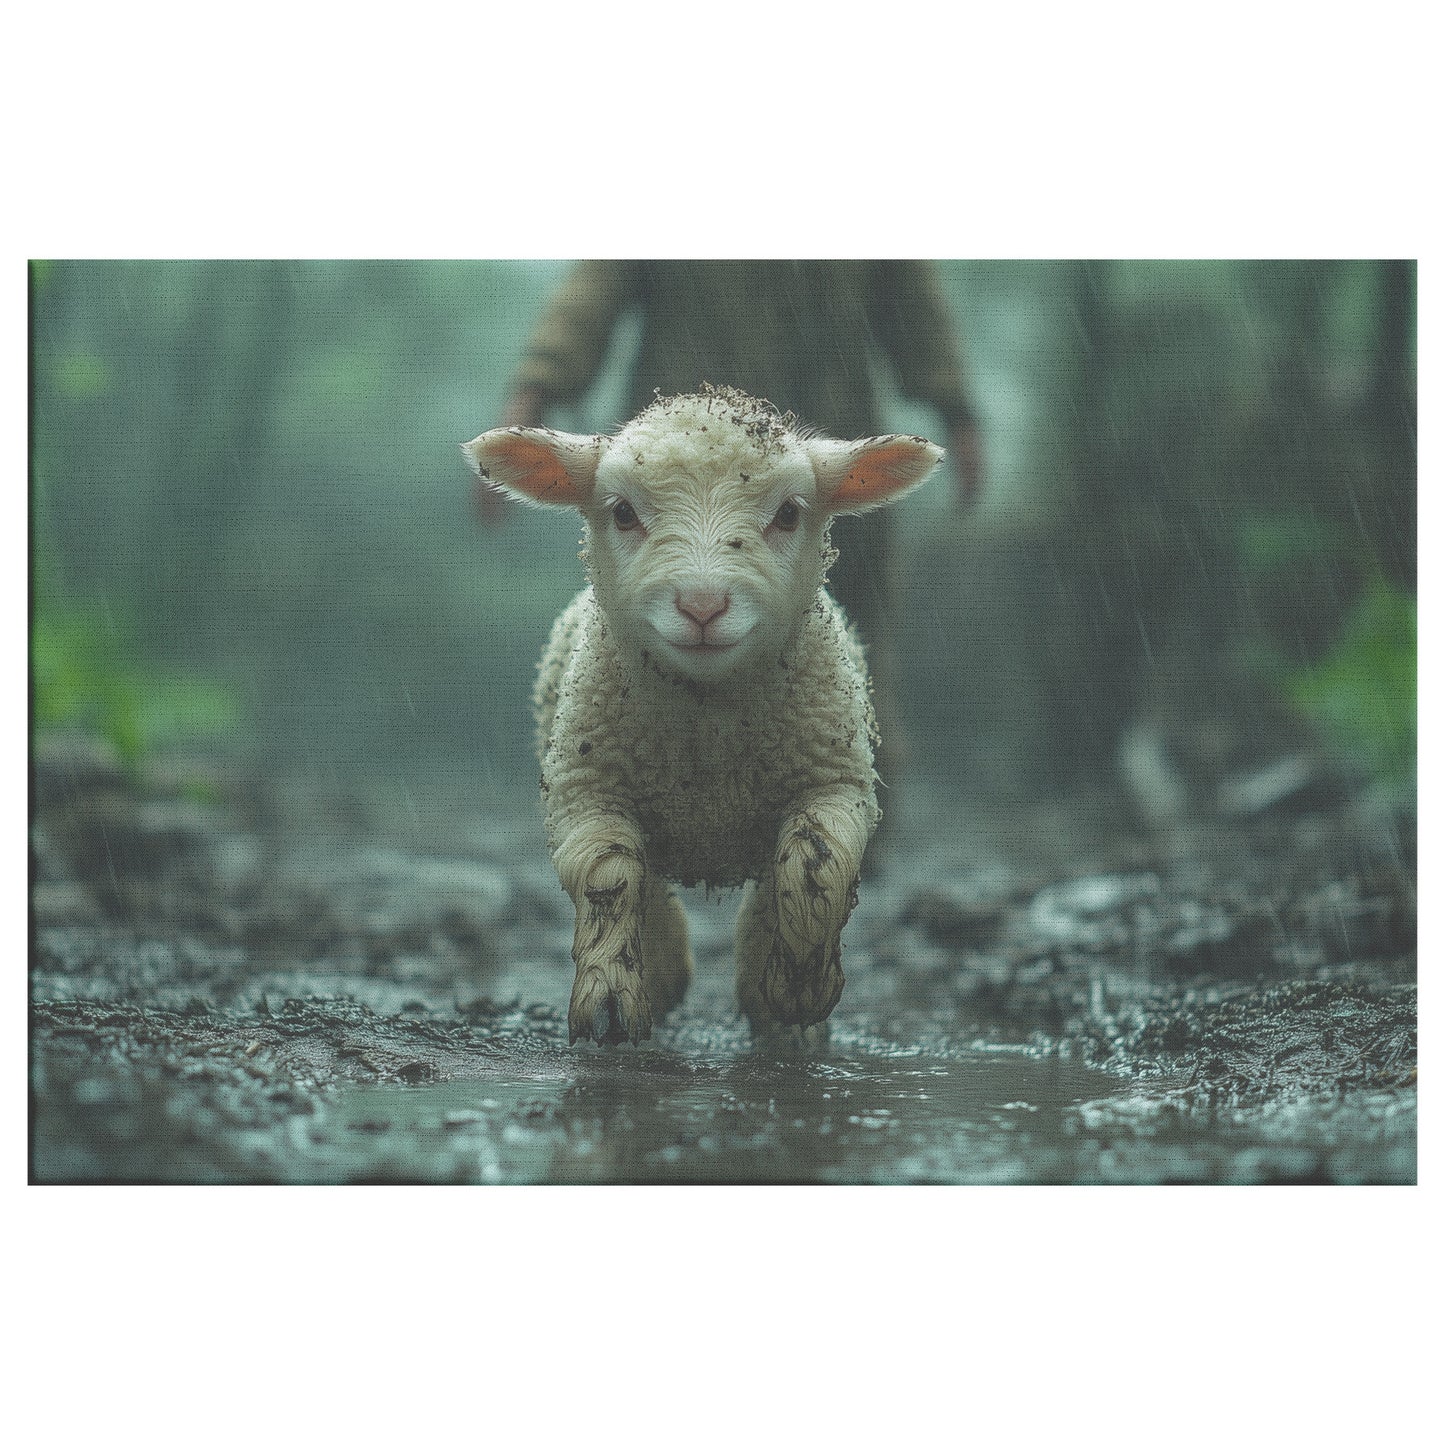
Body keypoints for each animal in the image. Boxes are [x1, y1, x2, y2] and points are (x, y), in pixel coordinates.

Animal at [462, 385, 943, 1045]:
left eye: (788, 514)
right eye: (622, 513)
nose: (702, 604)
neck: (708, 729)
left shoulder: (836, 783)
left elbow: (815, 865)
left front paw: (799, 989)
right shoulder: (584, 793)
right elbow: (608, 876)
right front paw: (611, 998)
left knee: (772, 887)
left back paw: (771, 1005)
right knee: (649, 887)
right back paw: (667, 978)